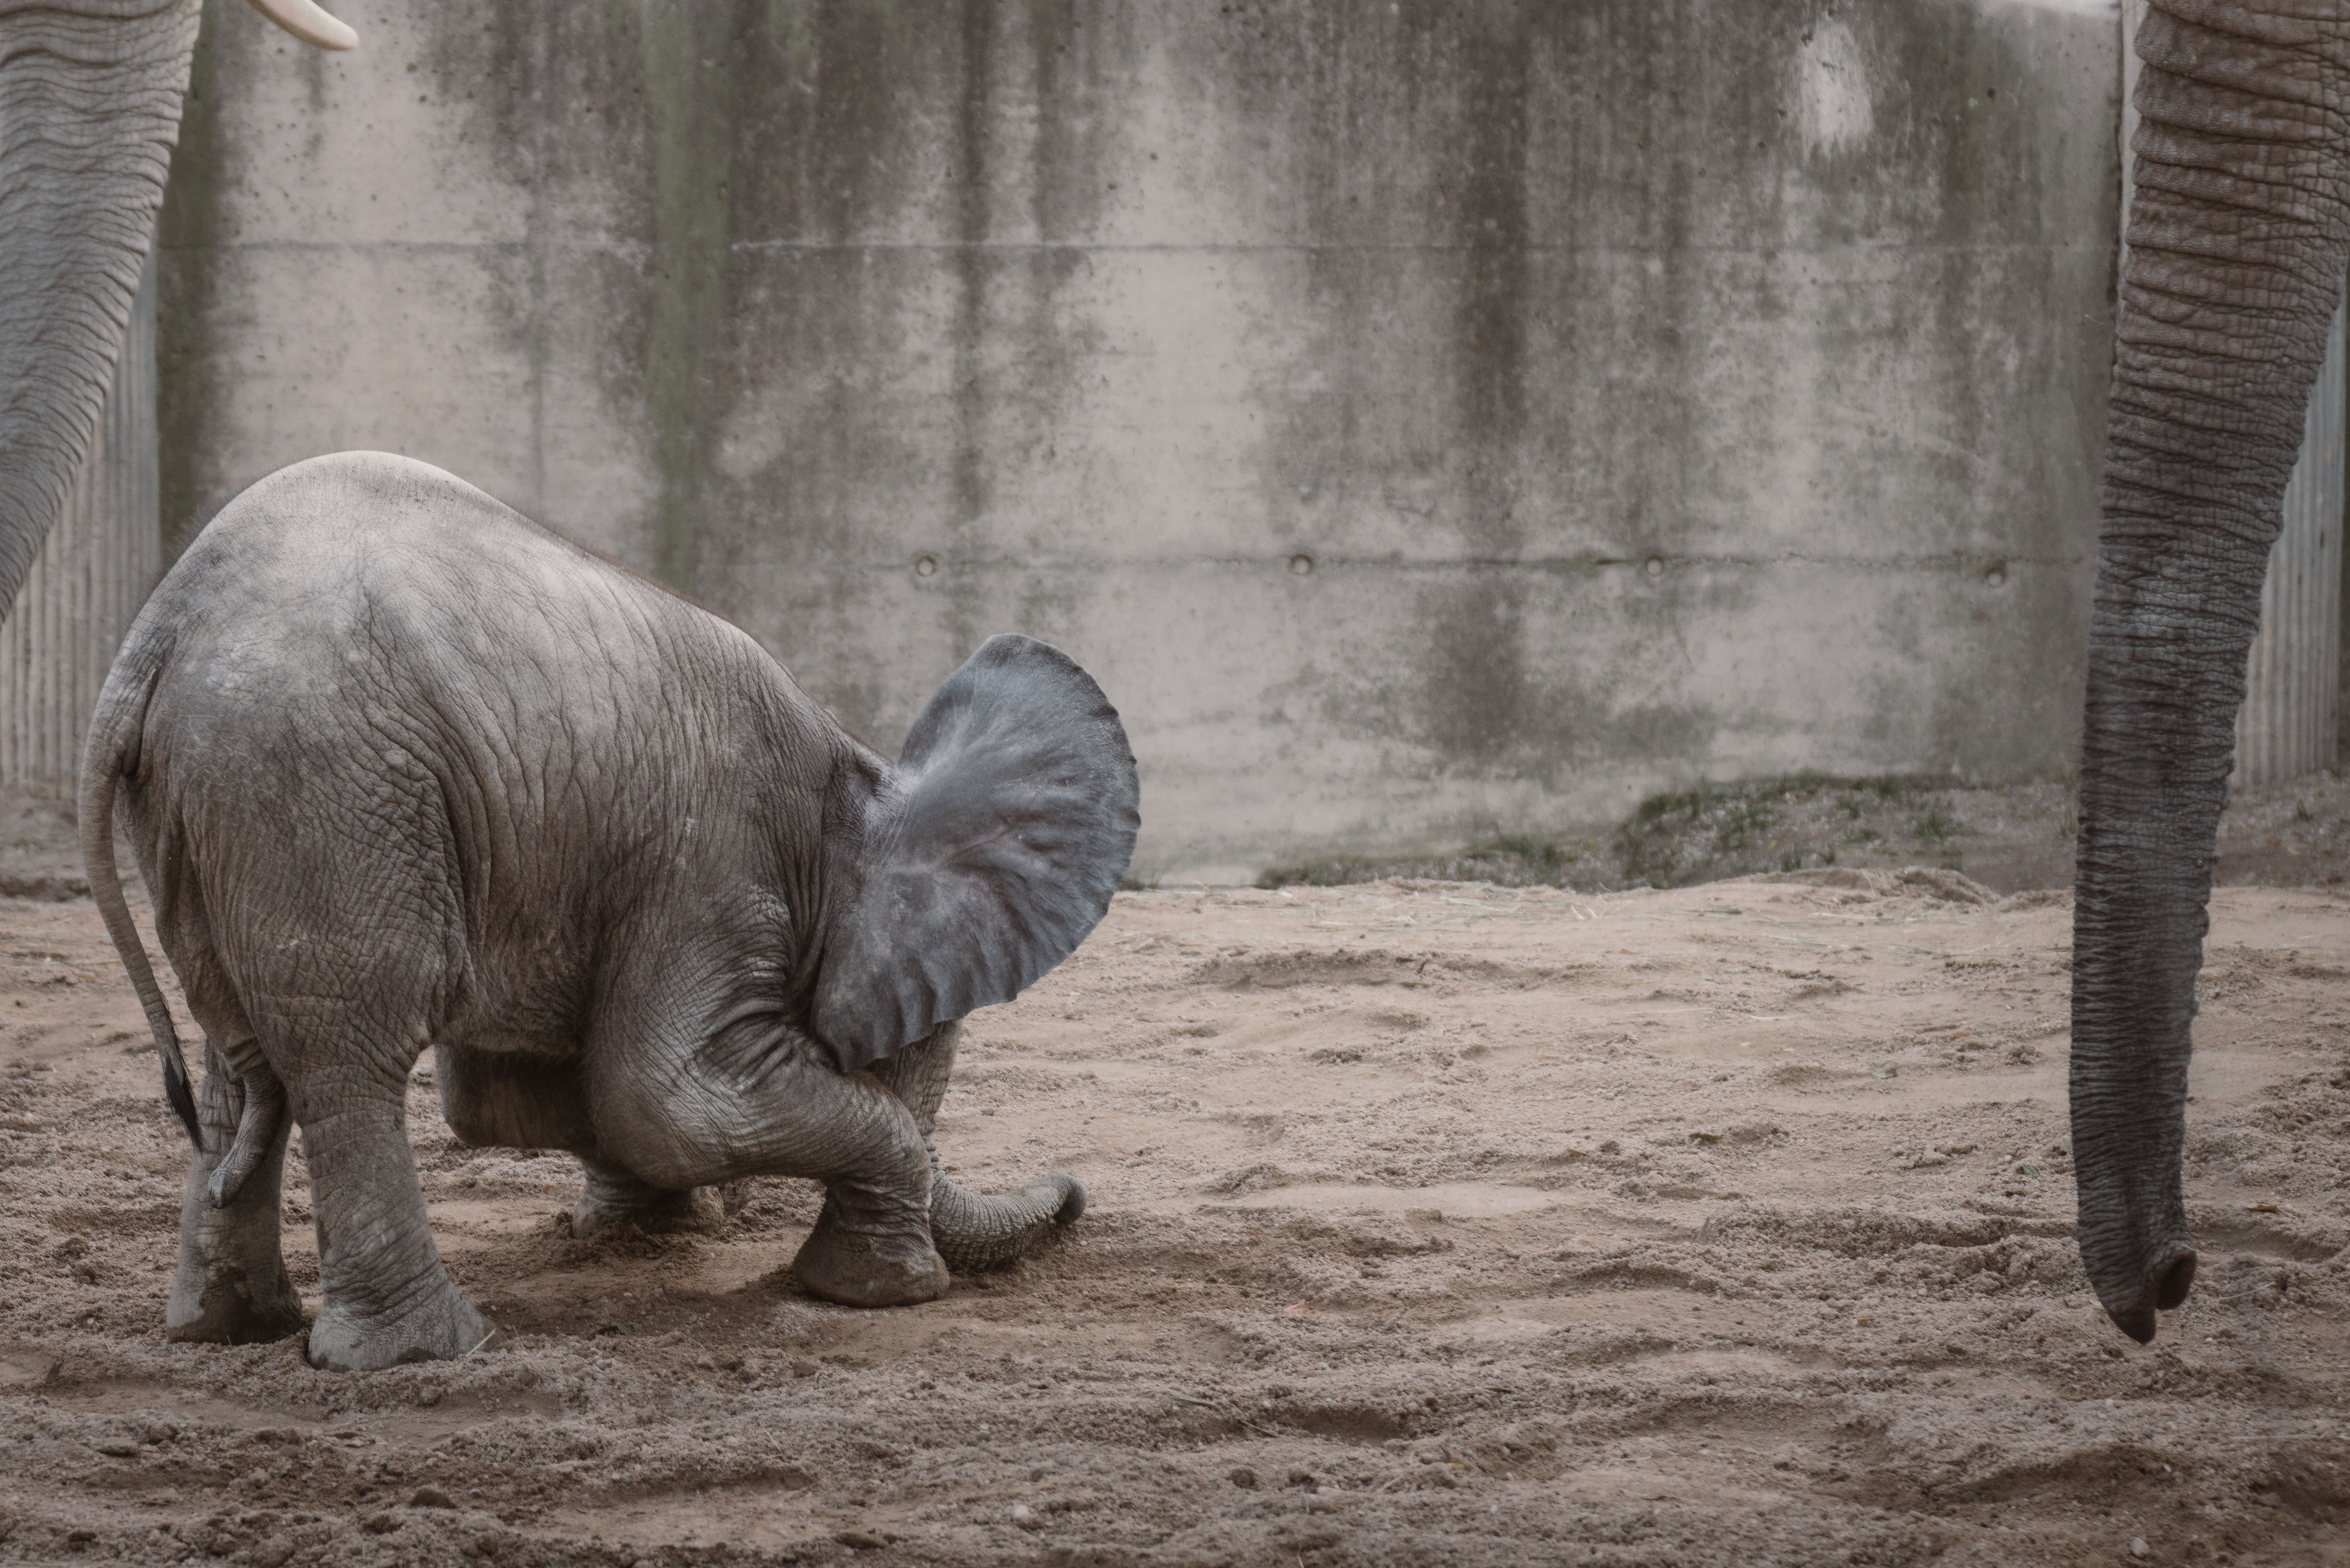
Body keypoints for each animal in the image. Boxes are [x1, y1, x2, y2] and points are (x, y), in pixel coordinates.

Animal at [80, 449, 1139, 1371]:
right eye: (918, 1036)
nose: (1076, 1192)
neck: (859, 774)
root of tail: (151, 640)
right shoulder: (710, 861)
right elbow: (659, 1100)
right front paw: (880, 1295)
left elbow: (519, 1098)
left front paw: (657, 1233)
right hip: (323, 787)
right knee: (353, 1055)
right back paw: (423, 1355)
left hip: (218, 814)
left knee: (241, 1071)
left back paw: (227, 1330)